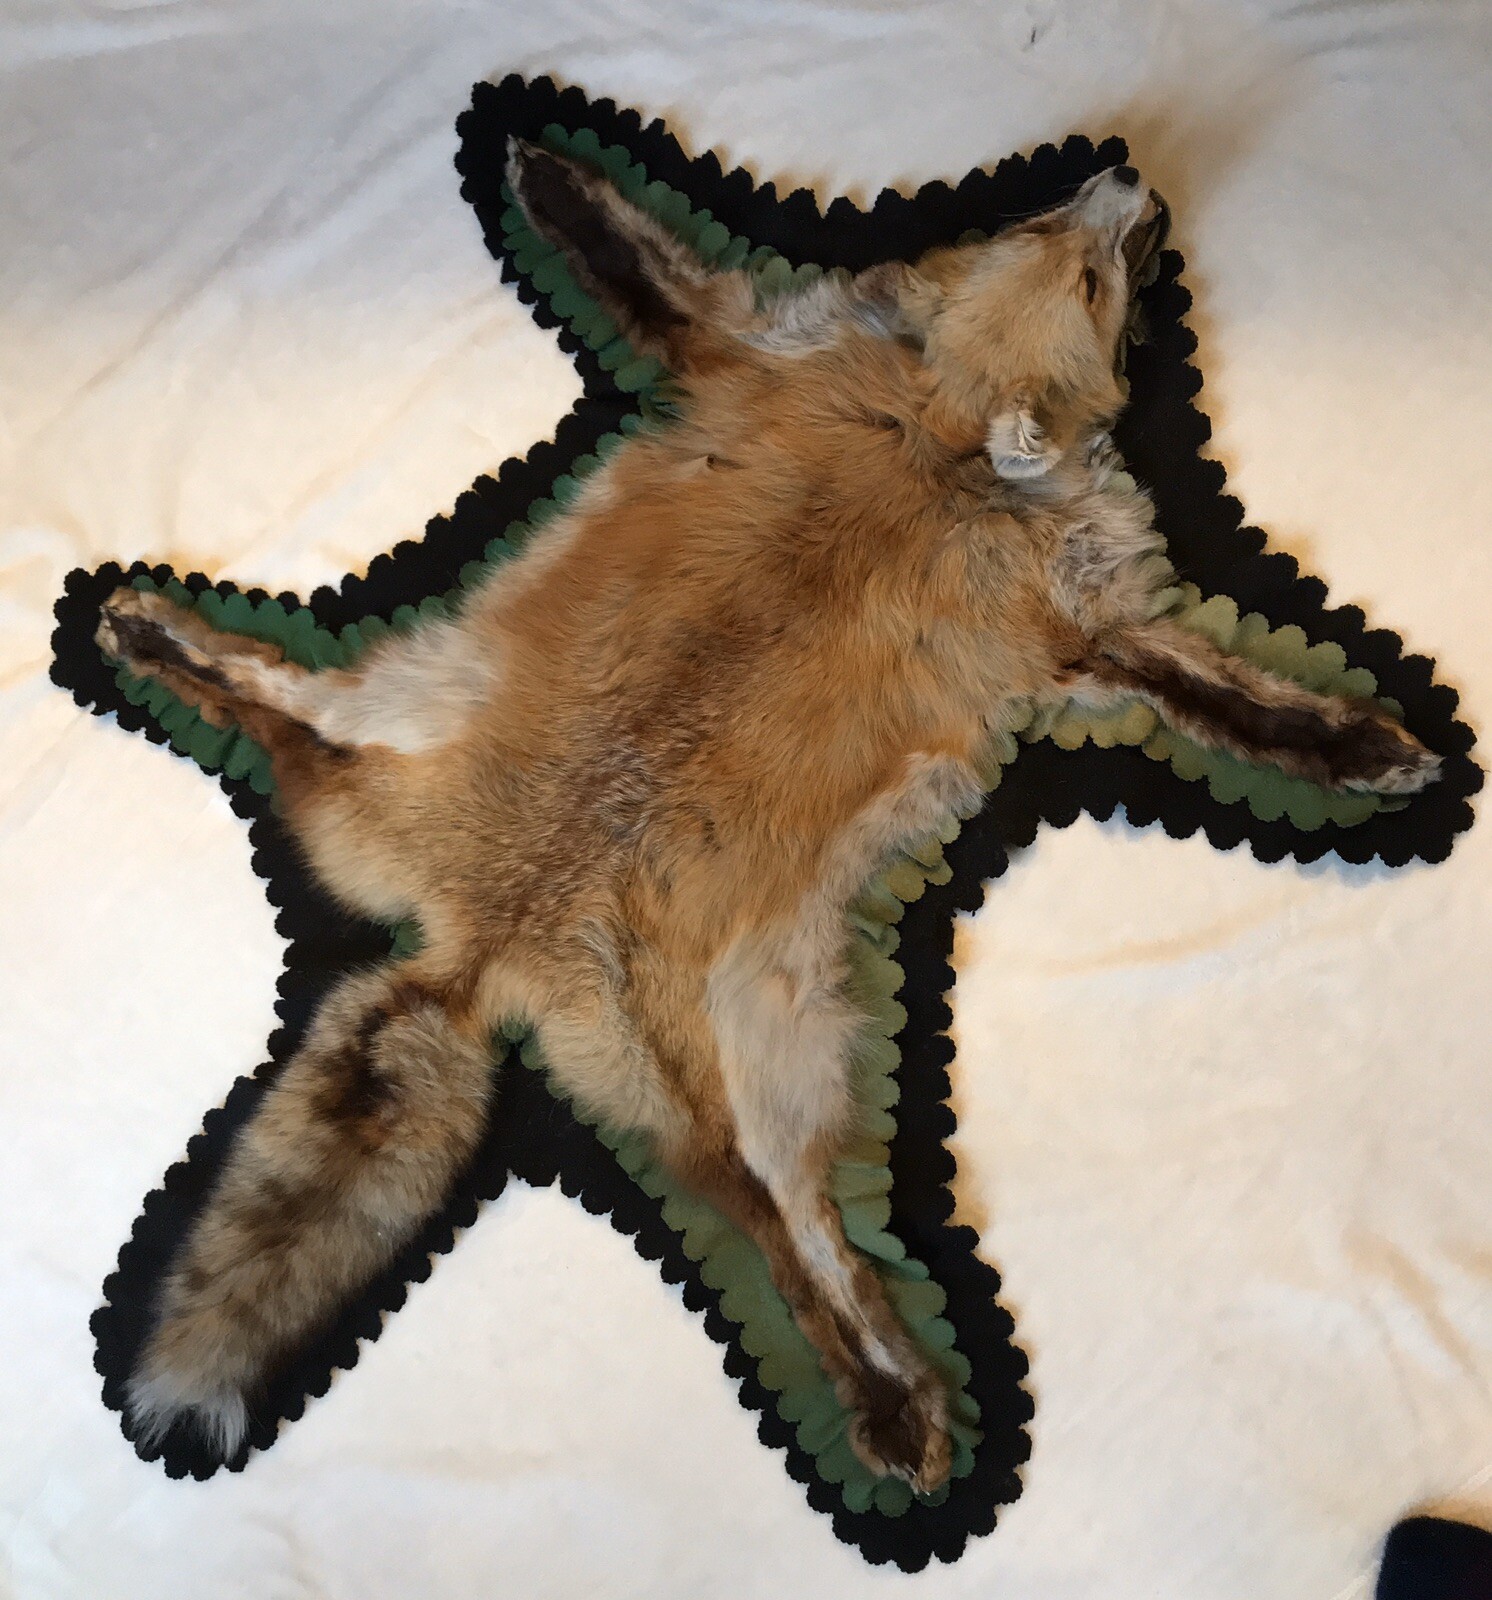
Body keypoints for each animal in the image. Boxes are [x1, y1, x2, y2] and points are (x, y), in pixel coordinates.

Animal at [93, 142, 1441, 1493]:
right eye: (1083, 267)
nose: (1122, 172)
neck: (938, 433)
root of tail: (477, 952)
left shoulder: (1021, 579)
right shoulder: (818, 405)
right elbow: (644, 265)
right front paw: (1362, 748)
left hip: (397, 719)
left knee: (274, 715)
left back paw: (158, 638)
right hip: (765, 1083)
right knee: (798, 1249)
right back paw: (896, 1405)